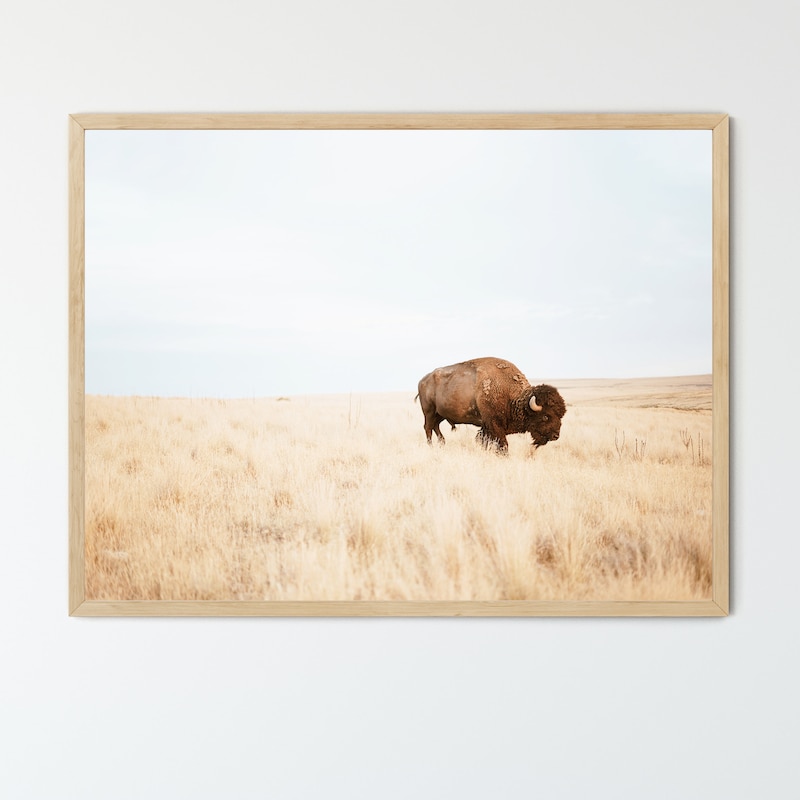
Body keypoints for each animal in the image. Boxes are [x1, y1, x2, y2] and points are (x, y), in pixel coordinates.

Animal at [416, 357, 566, 452]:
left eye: (561, 416)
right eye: (546, 416)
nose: (556, 436)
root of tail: (422, 380)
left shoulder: (486, 427)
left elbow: (484, 441)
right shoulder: (494, 425)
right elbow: (502, 444)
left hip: (440, 414)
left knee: (435, 427)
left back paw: (442, 443)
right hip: (429, 412)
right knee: (428, 428)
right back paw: (431, 446)